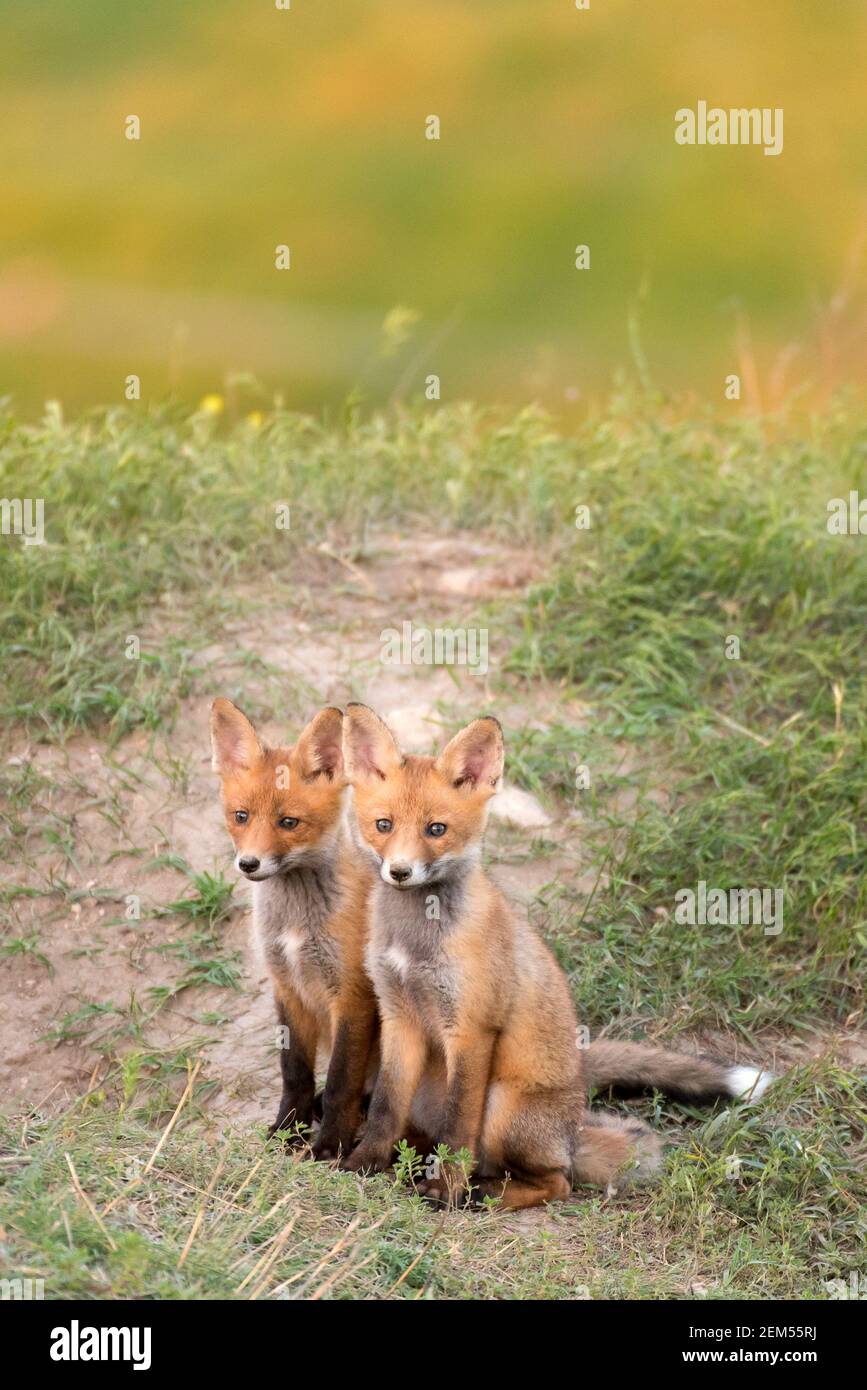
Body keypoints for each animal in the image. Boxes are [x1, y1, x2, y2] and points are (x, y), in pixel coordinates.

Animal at [210, 698, 378, 1159]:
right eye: (241, 816)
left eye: (288, 822)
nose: (248, 863)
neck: (296, 927)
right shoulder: (286, 986)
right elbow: (295, 1073)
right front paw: (287, 1131)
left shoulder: (351, 996)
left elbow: (339, 1085)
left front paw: (330, 1146)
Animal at [339, 703, 775, 1210]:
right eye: (383, 825)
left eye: (436, 830)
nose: (400, 871)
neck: (416, 943)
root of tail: (574, 1123)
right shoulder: (399, 1015)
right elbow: (385, 1108)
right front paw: (362, 1162)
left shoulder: (472, 1030)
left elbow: (459, 1128)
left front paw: (444, 1190)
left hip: (501, 1105)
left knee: (556, 1182)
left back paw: (480, 1193)